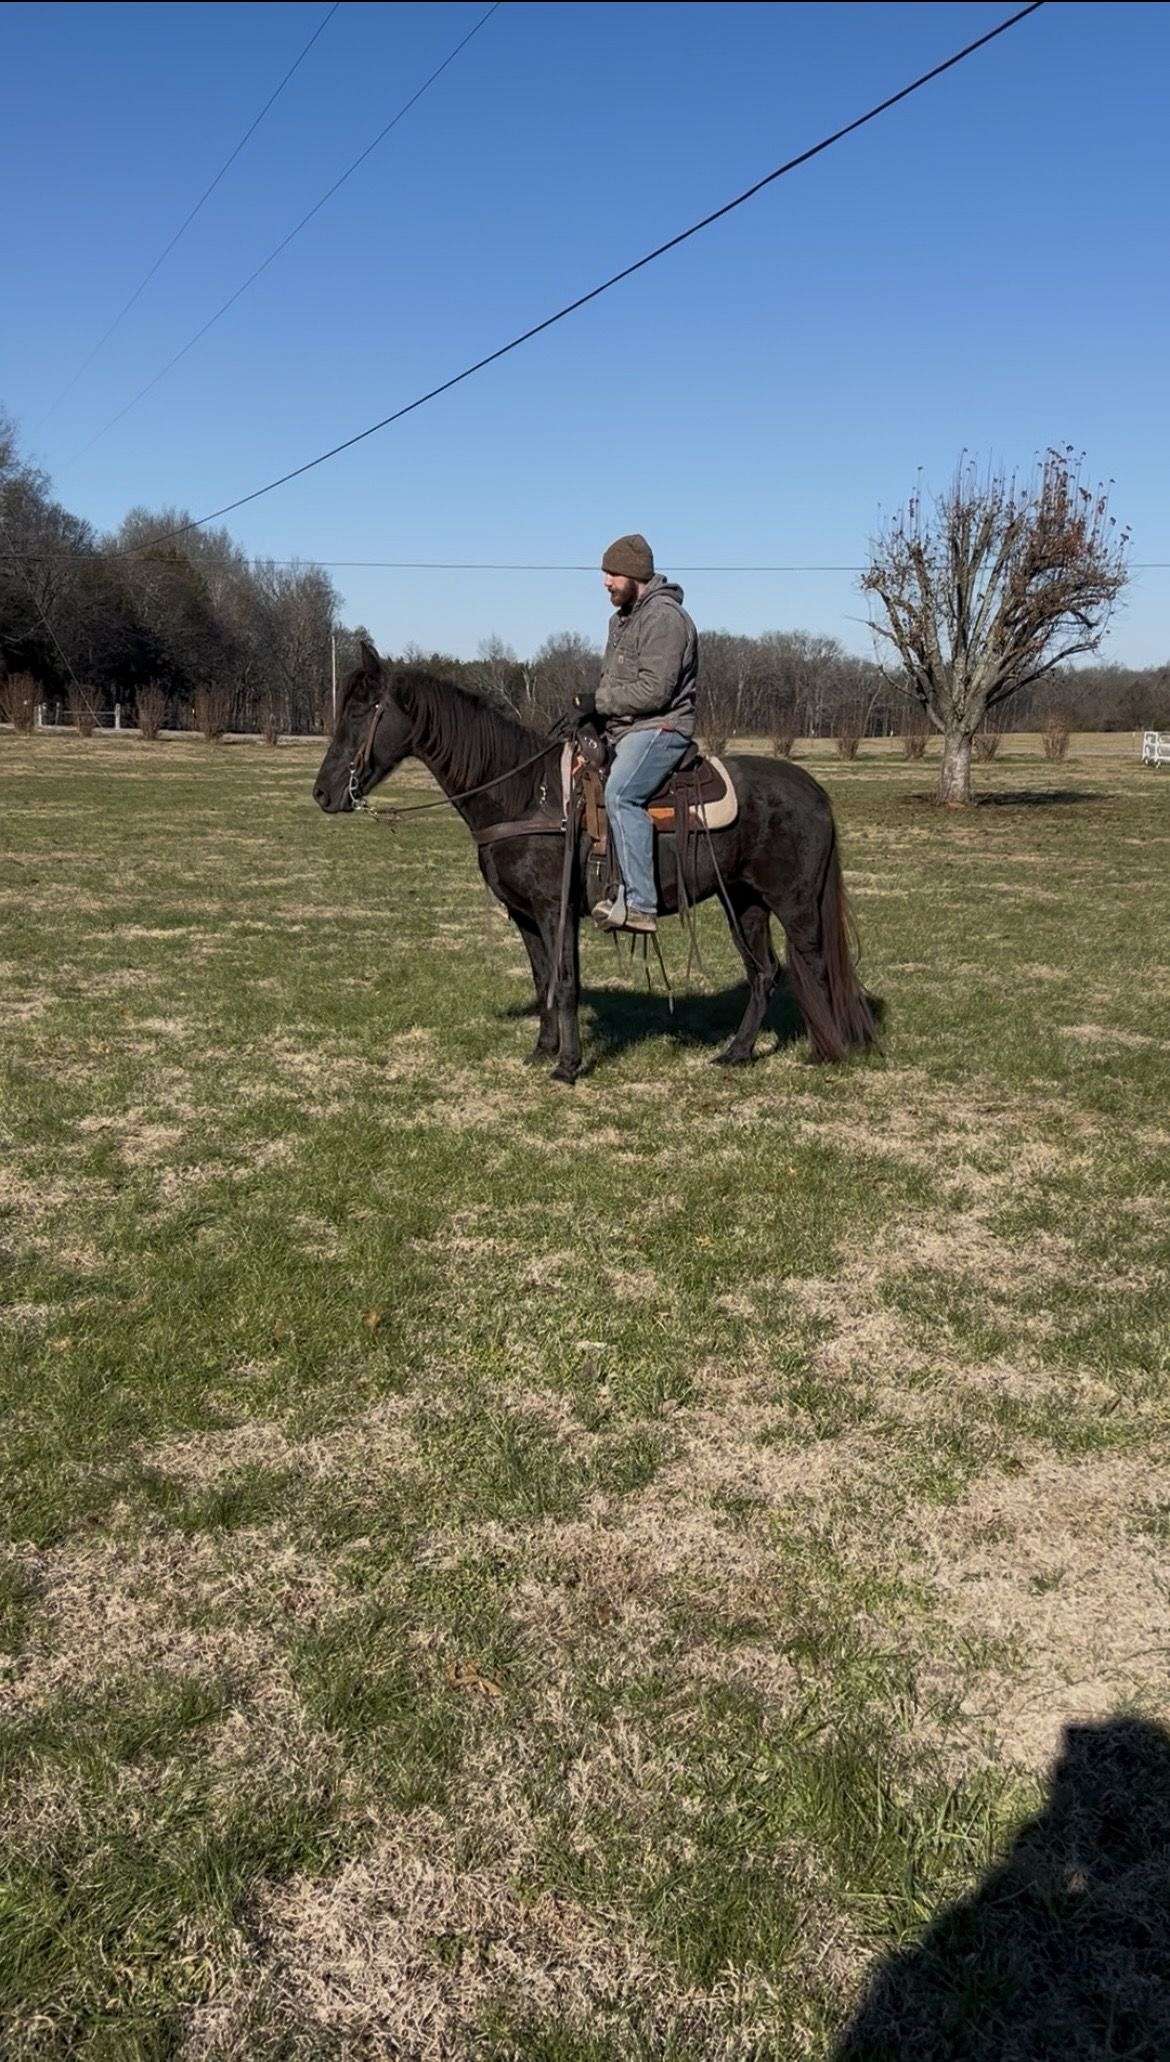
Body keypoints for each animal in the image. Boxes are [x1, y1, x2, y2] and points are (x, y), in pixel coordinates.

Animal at [313, 644, 876, 1083]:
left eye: (364, 710)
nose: (322, 793)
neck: (524, 795)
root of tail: (814, 791)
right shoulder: (524, 916)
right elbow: (541, 978)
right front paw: (541, 1050)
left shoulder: (554, 909)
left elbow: (565, 981)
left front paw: (568, 1064)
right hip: (744, 902)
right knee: (763, 973)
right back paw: (736, 1053)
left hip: (795, 904)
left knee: (813, 965)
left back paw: (827, 1051)